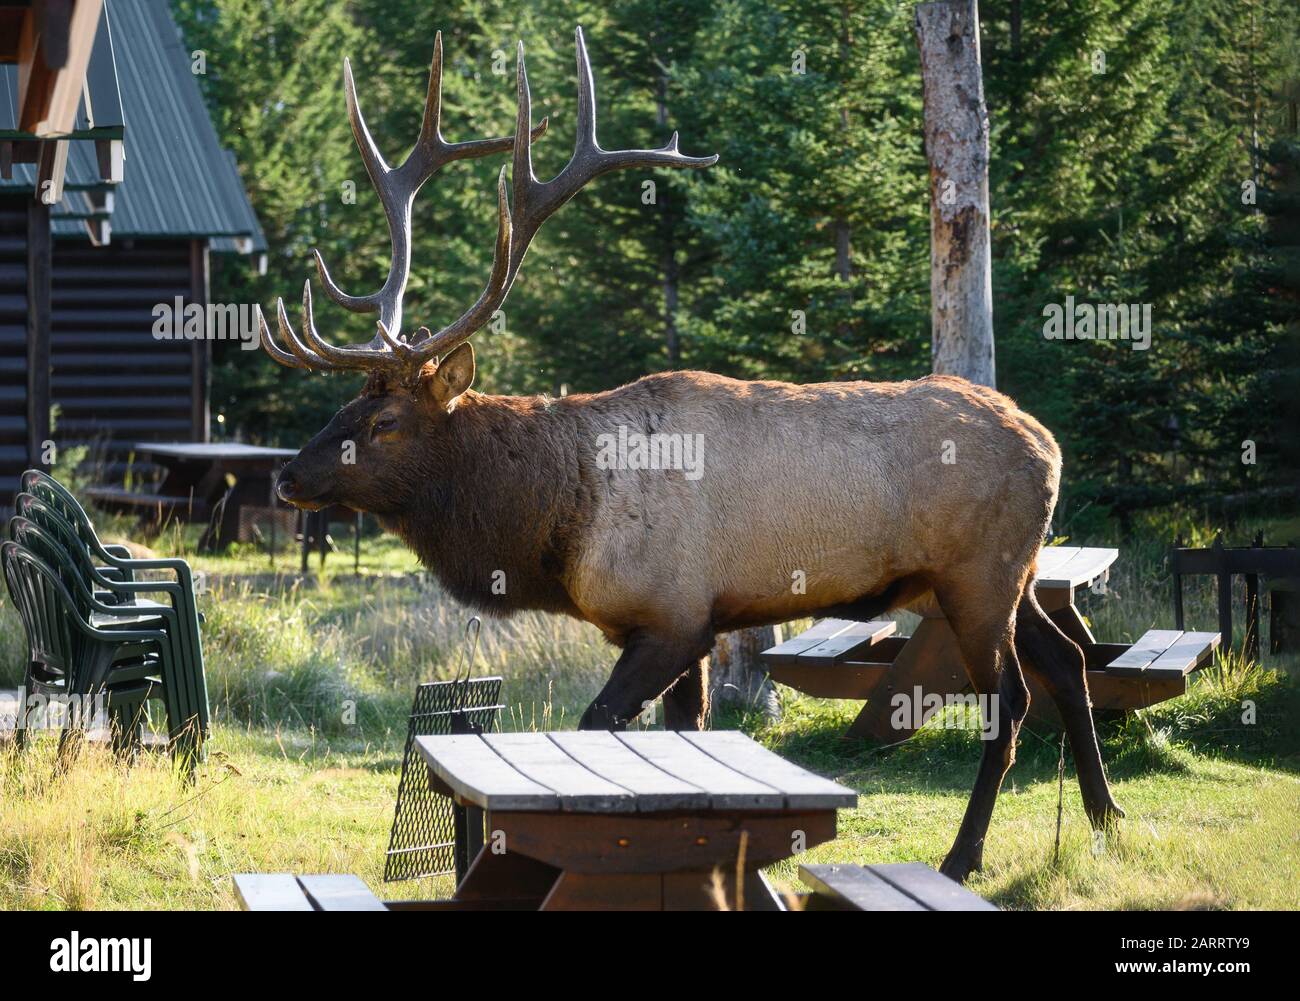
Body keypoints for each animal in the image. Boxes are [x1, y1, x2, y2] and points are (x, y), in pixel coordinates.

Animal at [259, 27, 1123, 881]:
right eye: (348, 404)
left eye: (386, 420)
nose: (287, 474)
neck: (559, 523)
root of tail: (1048, 444)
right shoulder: (698, 625)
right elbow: (691, 738)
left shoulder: (671, 616)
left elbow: (601, 723)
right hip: (1014, 574)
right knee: (1069, 662)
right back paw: (1104, 818)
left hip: (976, 576)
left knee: (1012, 700)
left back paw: (965, 853)